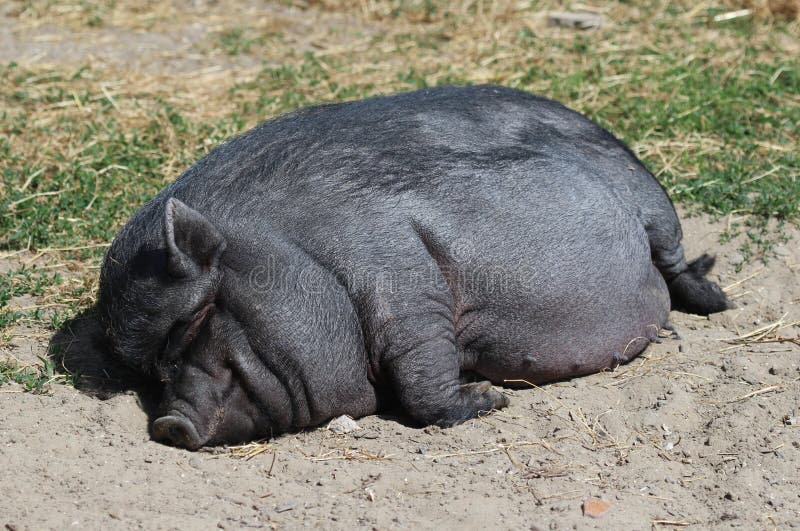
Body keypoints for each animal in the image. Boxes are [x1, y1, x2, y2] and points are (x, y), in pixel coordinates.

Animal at [97, 85, 730, 449]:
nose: (168, 424)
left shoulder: (402, 282)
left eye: (193, 322)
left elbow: (423, 368)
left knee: (675, 263)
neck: (306, 257)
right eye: (152, 370)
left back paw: (718, 299)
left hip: (651, 199)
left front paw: (490, 399)